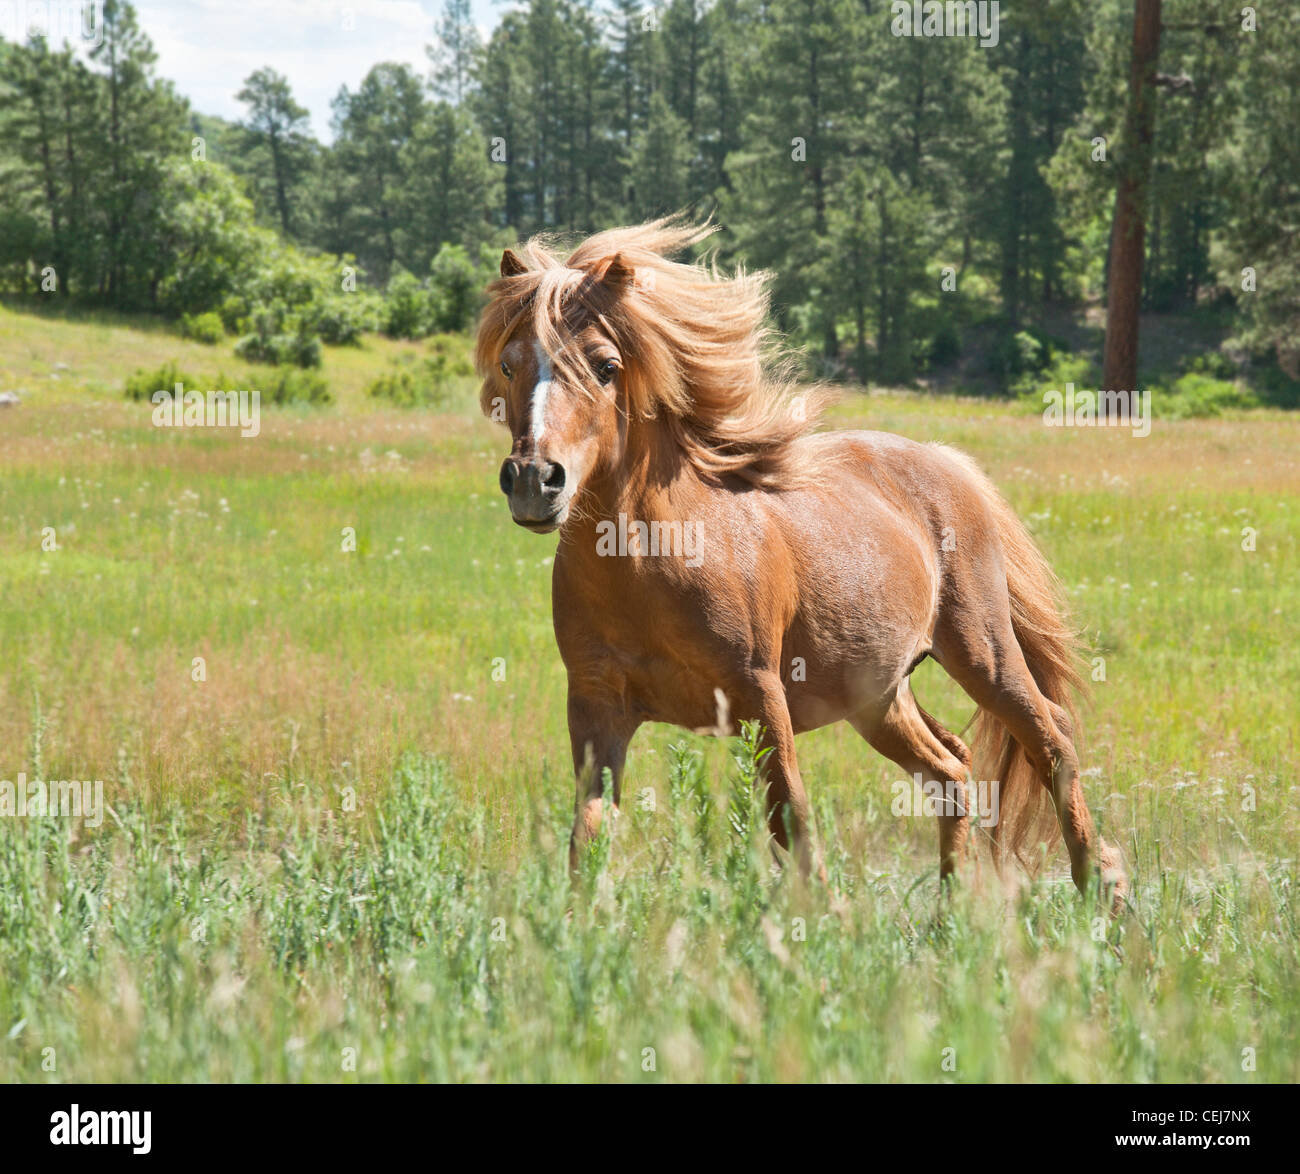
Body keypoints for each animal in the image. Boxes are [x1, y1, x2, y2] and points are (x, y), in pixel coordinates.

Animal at [475, 222, 1128, 920]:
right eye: (509, 364)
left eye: (605, 366)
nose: (534, 480)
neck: (652, 565)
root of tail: (947, 465)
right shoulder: (597, 708)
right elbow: (590, 832)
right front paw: (580, 928)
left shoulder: (761, 694)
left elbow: (789, 815)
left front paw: (827, 922)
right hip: (879, 695)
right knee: (951, 766)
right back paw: (947, 914)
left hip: (983, 654)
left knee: (1051, 744)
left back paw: (1103, 889)